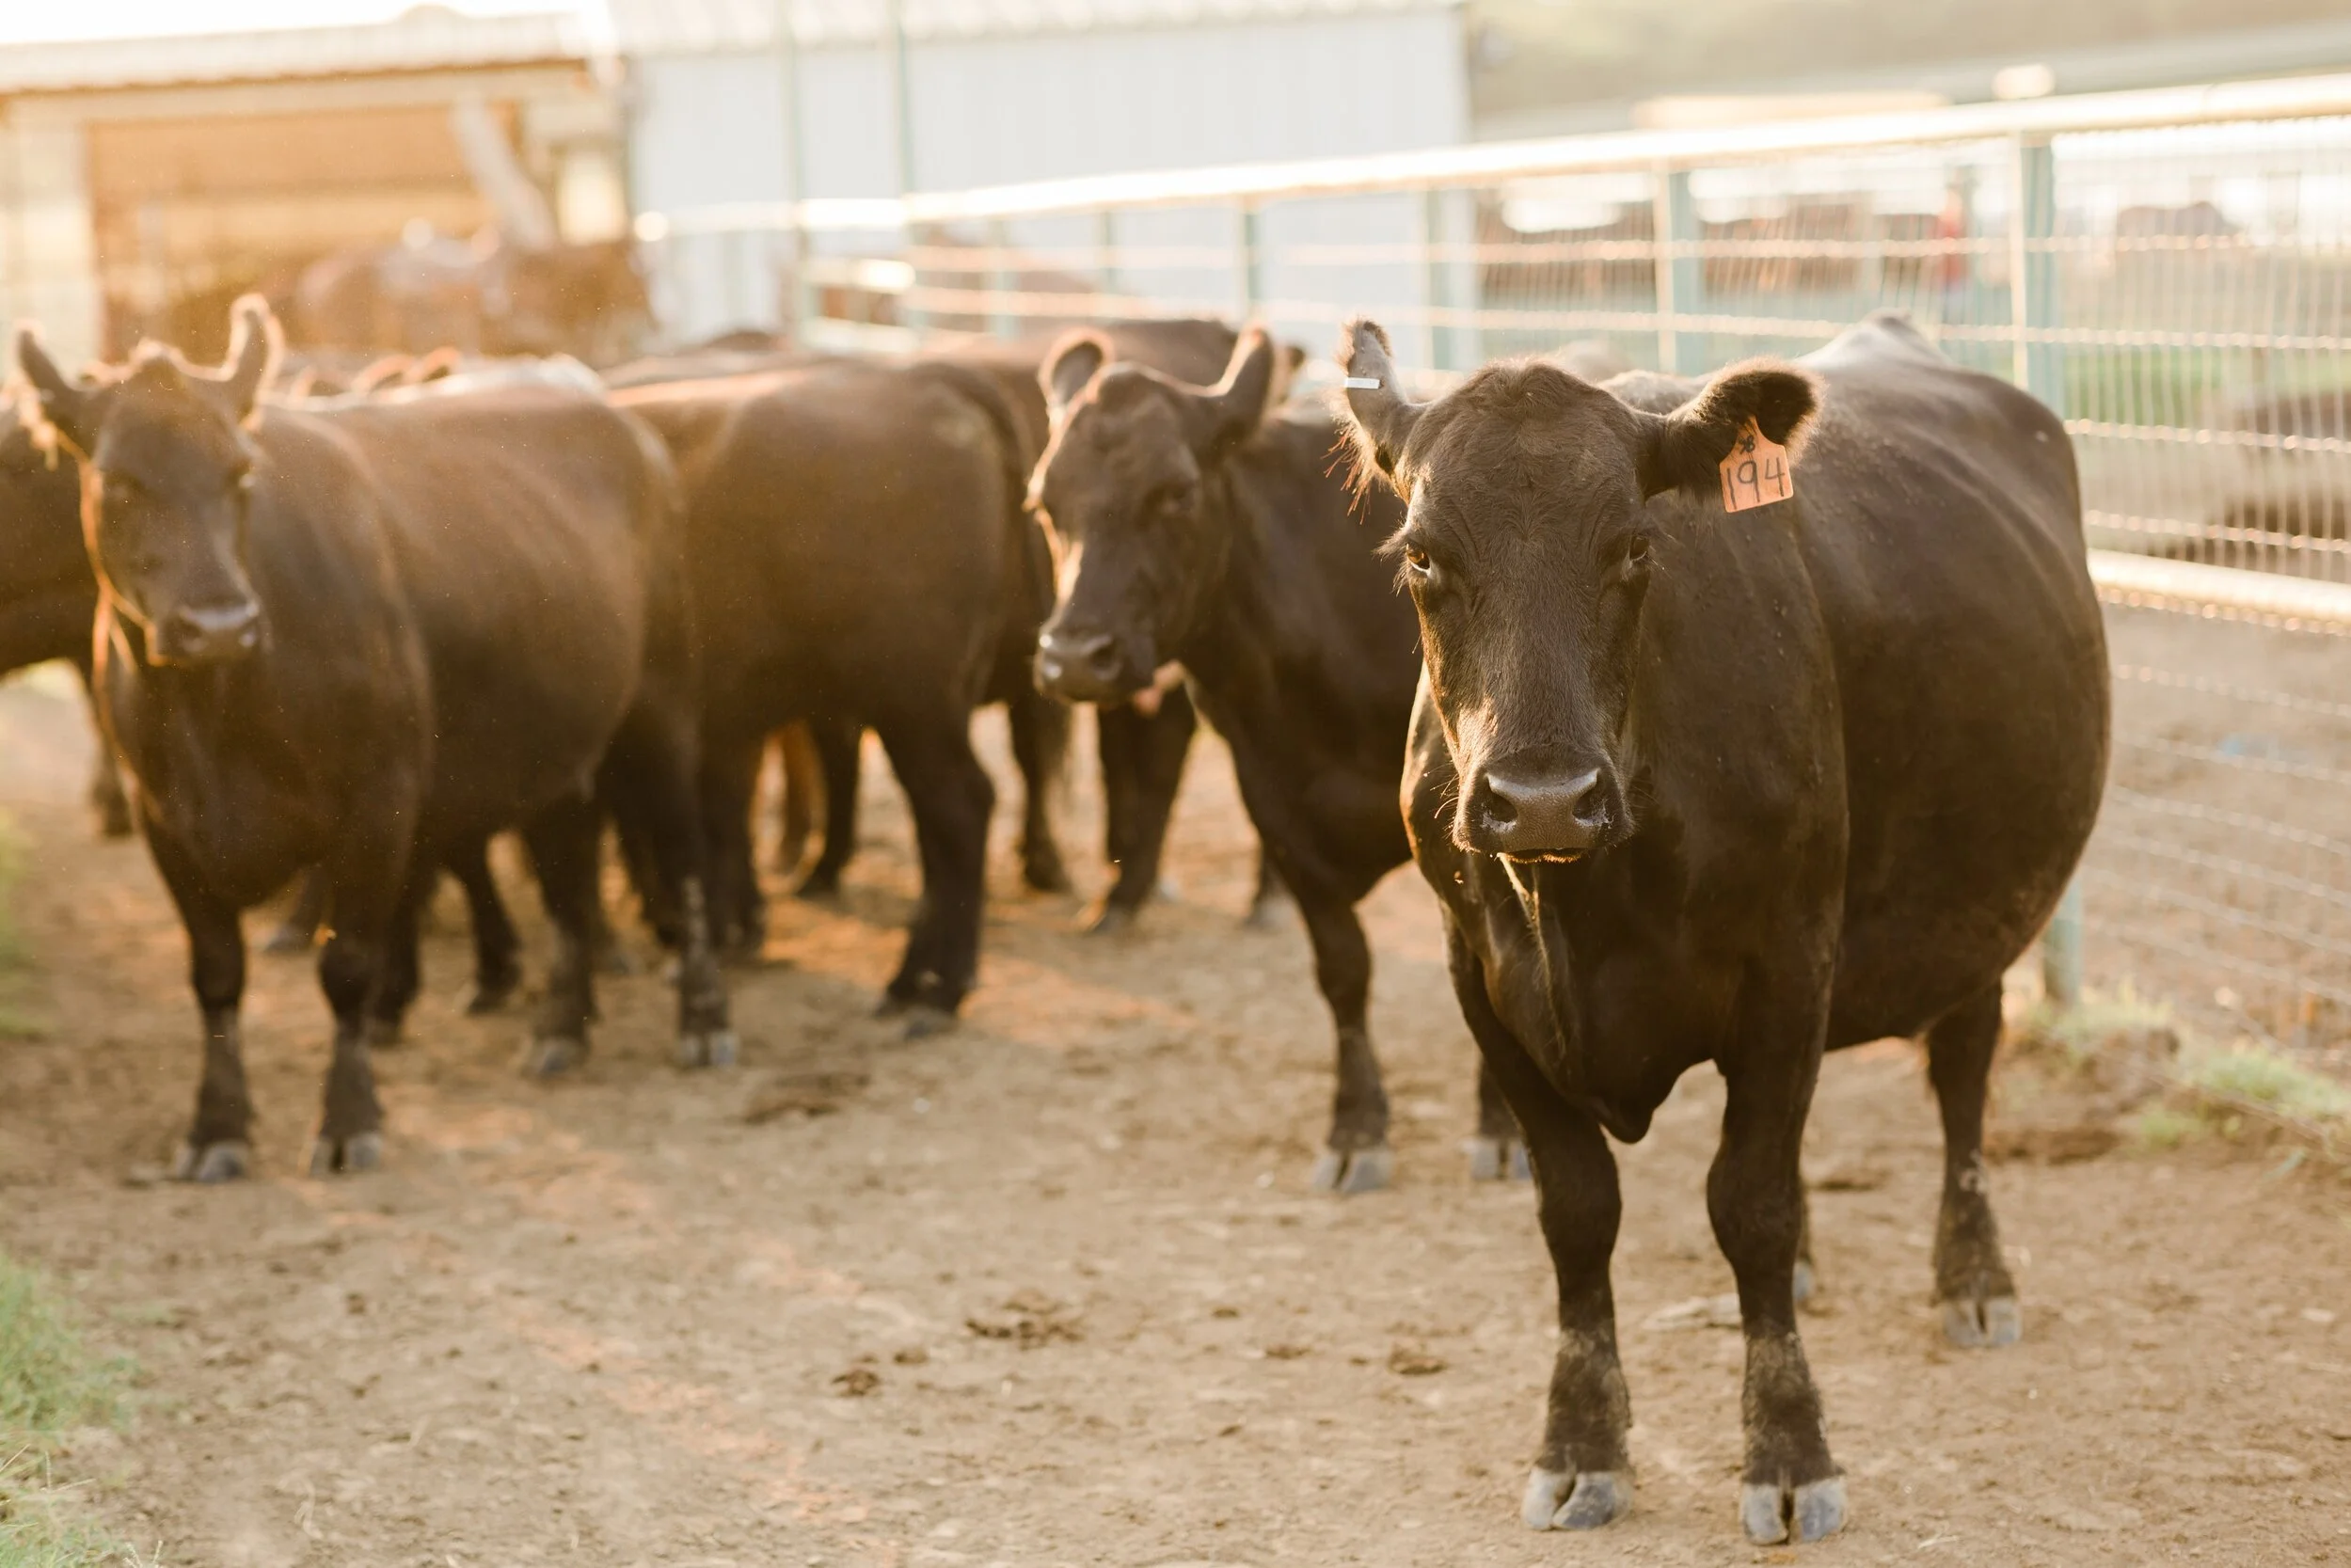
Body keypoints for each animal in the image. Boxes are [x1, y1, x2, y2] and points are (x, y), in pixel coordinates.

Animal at [13, 298, 734, 1182]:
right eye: (117, 481)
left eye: (240, 472)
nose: (217, 623)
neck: (215, 713)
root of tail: (611, 415)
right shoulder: (166, 825)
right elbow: (216, 976)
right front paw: (216, 1125)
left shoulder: (378, 803)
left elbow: (349, 964)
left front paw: (348, 1117)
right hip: (552, 749)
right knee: (566, 870)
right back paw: (561, 1028)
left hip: (661, 708)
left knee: (684, 857)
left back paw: (703, 1018)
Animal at [1027, 326, 1451, 1194]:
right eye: (1044, 504)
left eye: (1176, 492)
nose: (1075, 657)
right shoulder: (1276, 806)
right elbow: (1343, 969)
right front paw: (1355, 1125)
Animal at [1335, 311, 2107, 1542]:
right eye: (1418, 555)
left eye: (1636, 548)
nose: (1541, 797)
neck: (1583, 904)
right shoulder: (1482, 979)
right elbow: (1578, 1208)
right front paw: (1579, 1444)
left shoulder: (1788, 959)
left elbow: (1751, 1201)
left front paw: (1789, 1452)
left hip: (1978, 906)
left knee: (1962, 1078)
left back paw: (1975, 1277)